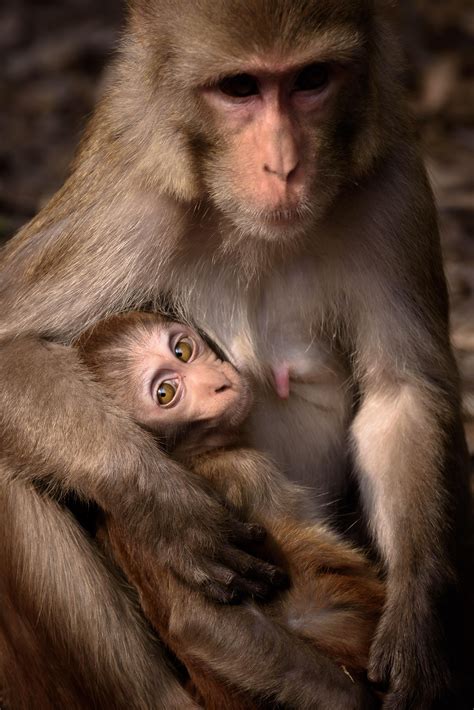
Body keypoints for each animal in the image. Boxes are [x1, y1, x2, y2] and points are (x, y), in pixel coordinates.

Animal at [76, 310, 385, 707]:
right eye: (165, 393)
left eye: (183, 349)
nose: (217, 384)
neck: (190, 456)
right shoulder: (244, 473)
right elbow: (203, 623)